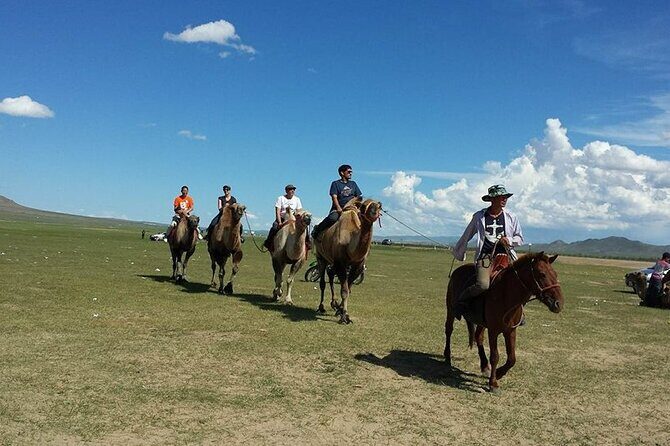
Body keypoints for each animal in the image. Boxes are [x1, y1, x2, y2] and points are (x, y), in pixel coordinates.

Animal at [444, 251, 564, 391]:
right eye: (542, 274)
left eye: (555, 274)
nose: (559, 304)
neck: (506, 295)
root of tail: (457, 270)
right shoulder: (493, 331)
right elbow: (495, 356)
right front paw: (493, 383)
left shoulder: (510, 331)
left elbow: (512, 358)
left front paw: (499, 373)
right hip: (450, 310)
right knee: (449, 330)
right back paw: (447, 356)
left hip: (482, 323)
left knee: (478, 337)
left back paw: (484, 366)